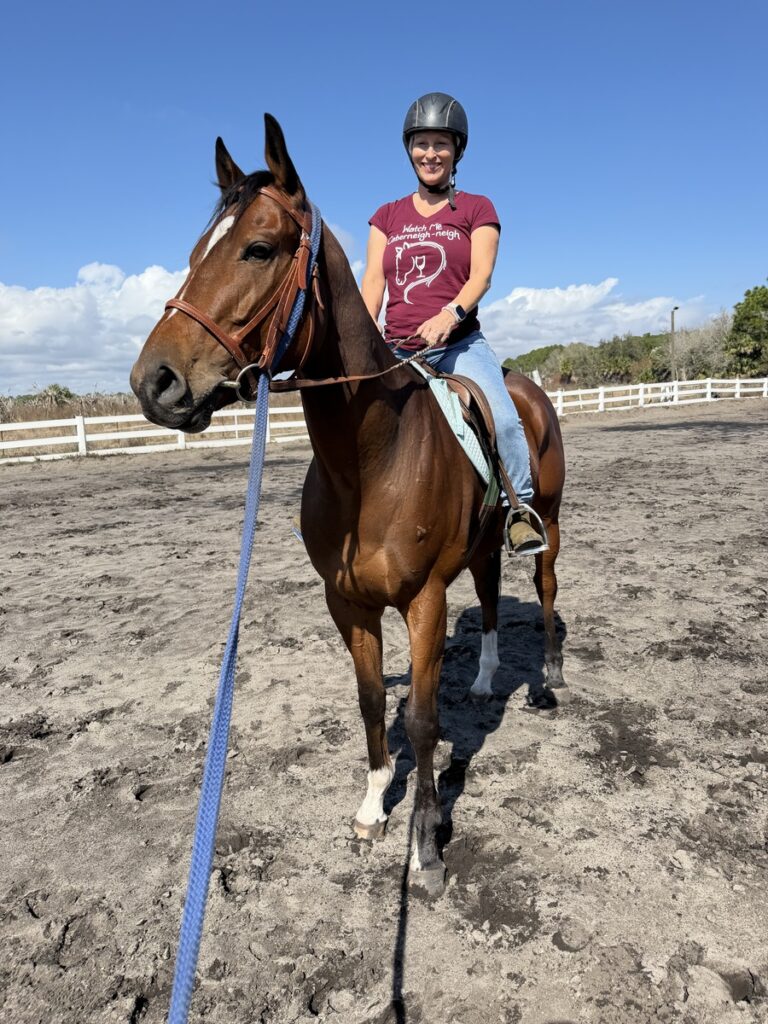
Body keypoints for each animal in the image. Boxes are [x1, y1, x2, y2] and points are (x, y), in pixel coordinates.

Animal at [130, 114, 566, 895]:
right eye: (192, 254)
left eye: (259, 248)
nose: (155, 382)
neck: (373, 461)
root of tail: (529, 387)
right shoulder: (347, 602)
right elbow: (369, 703)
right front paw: (372, 811)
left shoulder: (423, 600)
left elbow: (421, 720)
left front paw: (427, 848)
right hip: (484, 542)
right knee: (490, 593)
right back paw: (487, 679)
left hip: (552, 519)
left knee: (543, 589)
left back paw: (546, 682)